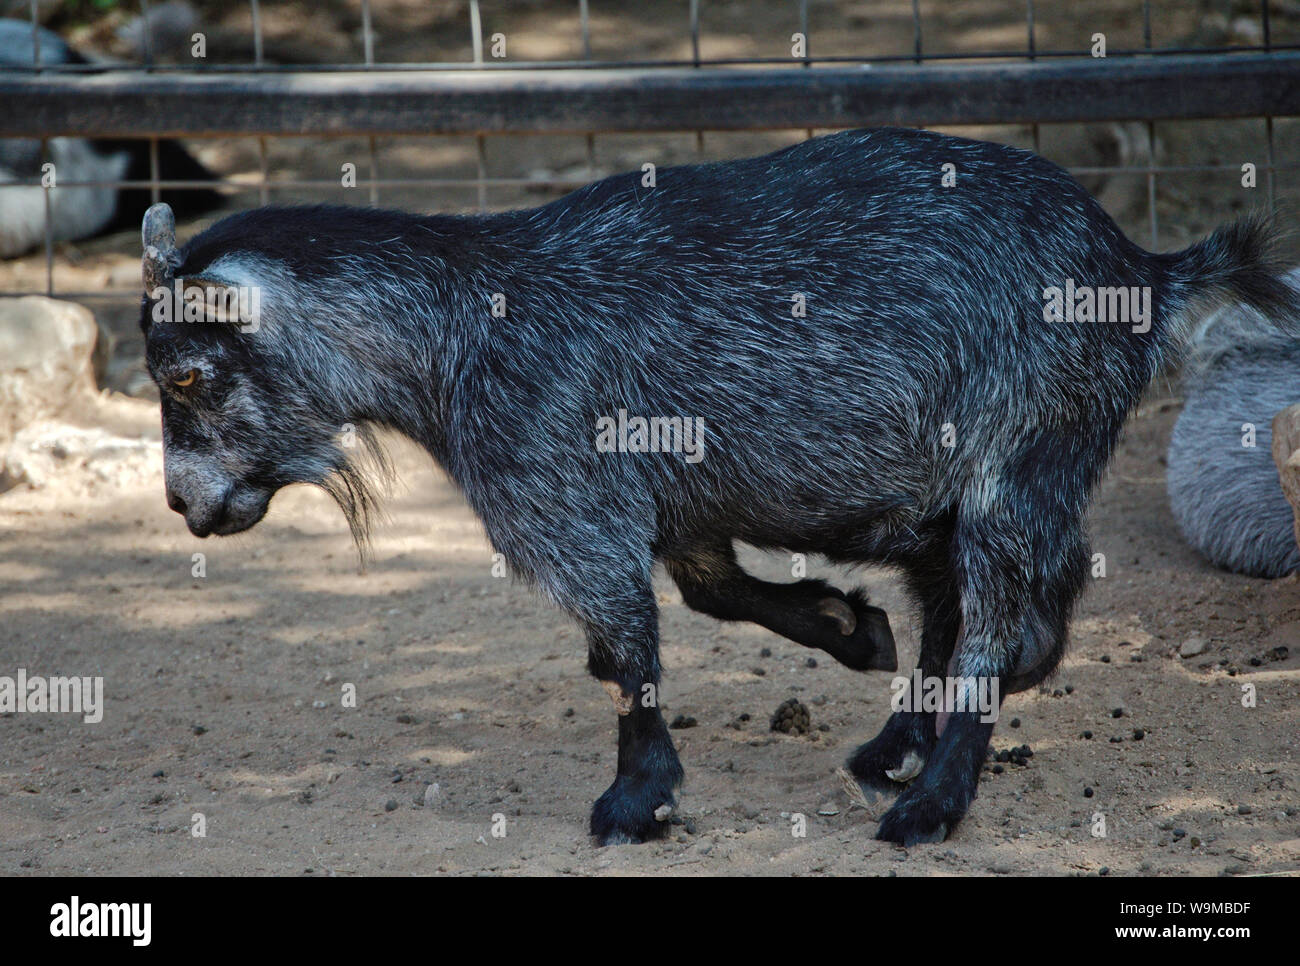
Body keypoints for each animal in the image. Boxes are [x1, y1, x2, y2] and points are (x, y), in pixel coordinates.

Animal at [138, 127, 1297, 845]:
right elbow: (708, 592)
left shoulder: (569, 506)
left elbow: (625, 648)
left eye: (185, 374)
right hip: (948, 488)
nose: (184, 504)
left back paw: (931, 800)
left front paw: (635, 800)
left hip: (1014, 459)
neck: (463, 328)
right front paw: (843, 624)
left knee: (993, 611)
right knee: (958, 598)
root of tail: (1143, 272)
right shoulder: (675, 507)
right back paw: (901, 738)